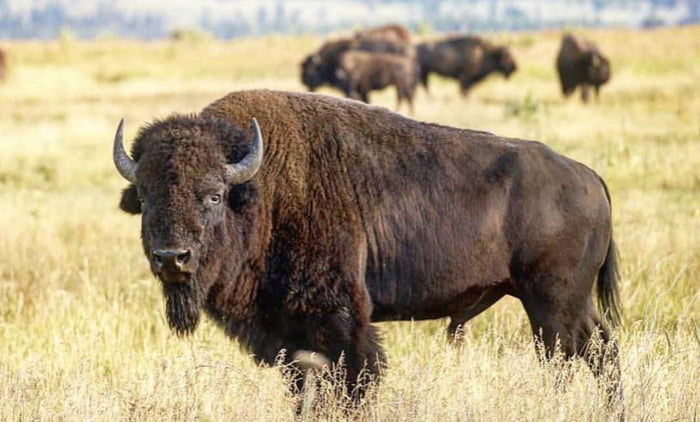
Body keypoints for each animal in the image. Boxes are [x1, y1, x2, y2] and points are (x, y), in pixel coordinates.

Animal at [113, 90, 622, 406]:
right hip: (565, 305)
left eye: (214, 195)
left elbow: (355, 380)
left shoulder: (341, 324)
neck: (260, 190)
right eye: (146, 197)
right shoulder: (291, 338)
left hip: (552, 306)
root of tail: (588, 176)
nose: (172, 258)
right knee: (602, 351)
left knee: (574, 357)